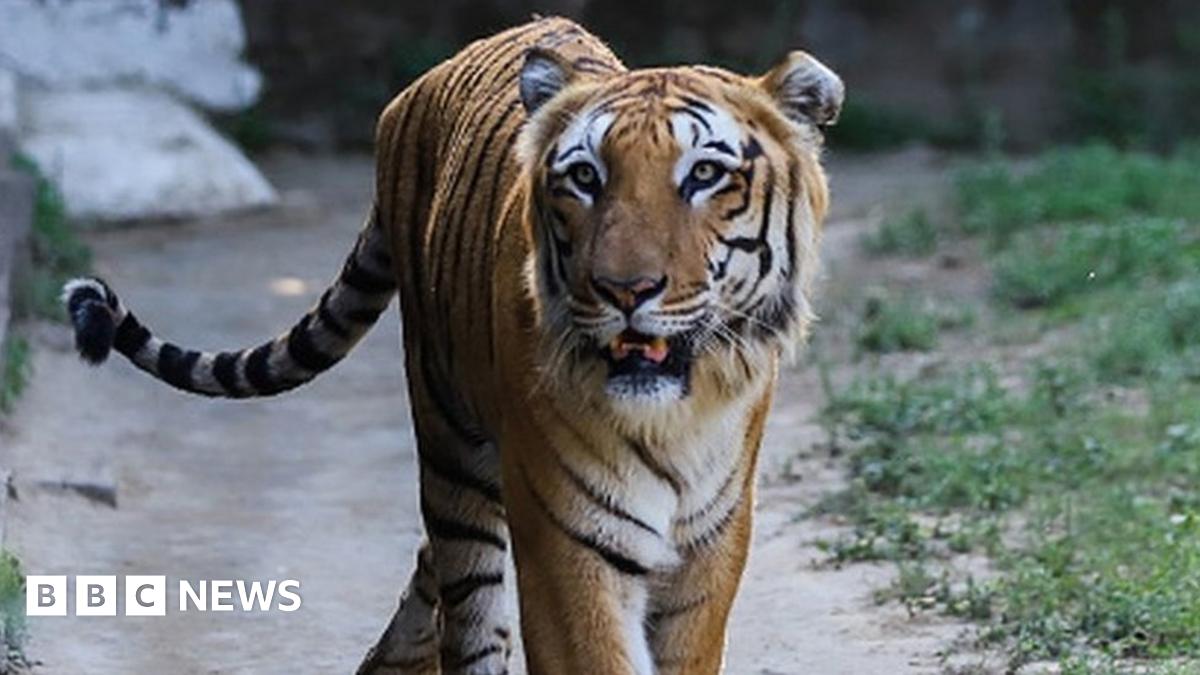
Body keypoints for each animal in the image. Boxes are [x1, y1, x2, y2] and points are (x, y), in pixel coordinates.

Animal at [61, 16, 843, 675]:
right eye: (585, 178)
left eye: (705, 175)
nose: (624, 290)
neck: (675, 416)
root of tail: (421, 85)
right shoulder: (568, 536)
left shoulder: (712, 545)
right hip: (453, 451)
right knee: (465, 608)